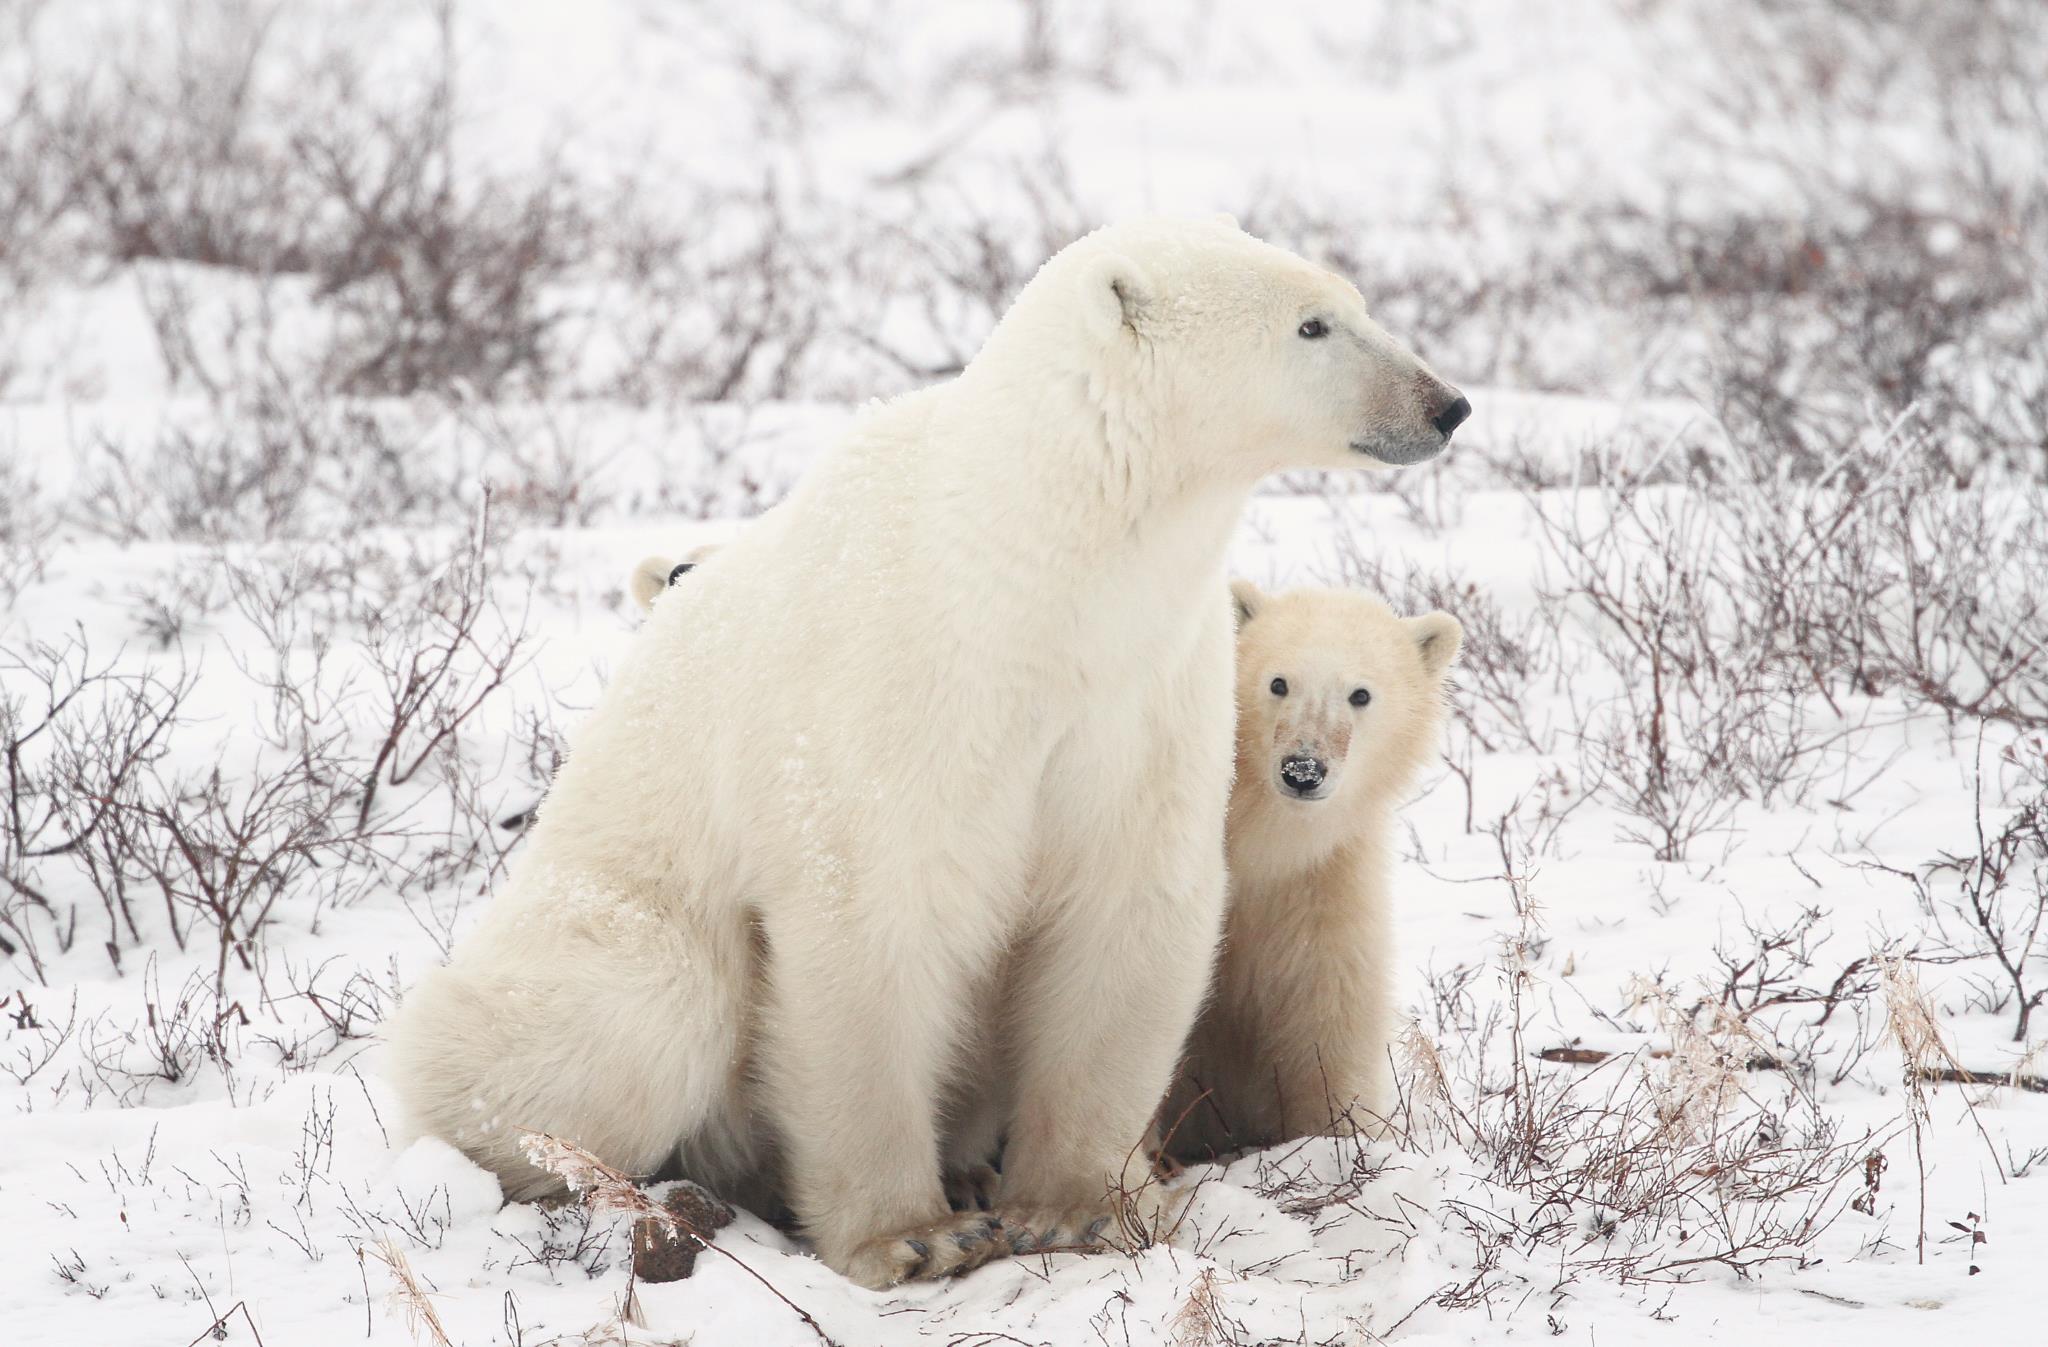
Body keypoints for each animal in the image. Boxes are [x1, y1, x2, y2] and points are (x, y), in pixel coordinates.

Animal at [1160, 581, 1462, 1163]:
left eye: (1360, 694)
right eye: (1278, 682)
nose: (1303, 770)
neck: (1260, 840)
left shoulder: (1320, 888)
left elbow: (1327, 1019)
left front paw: (1337, 1142)